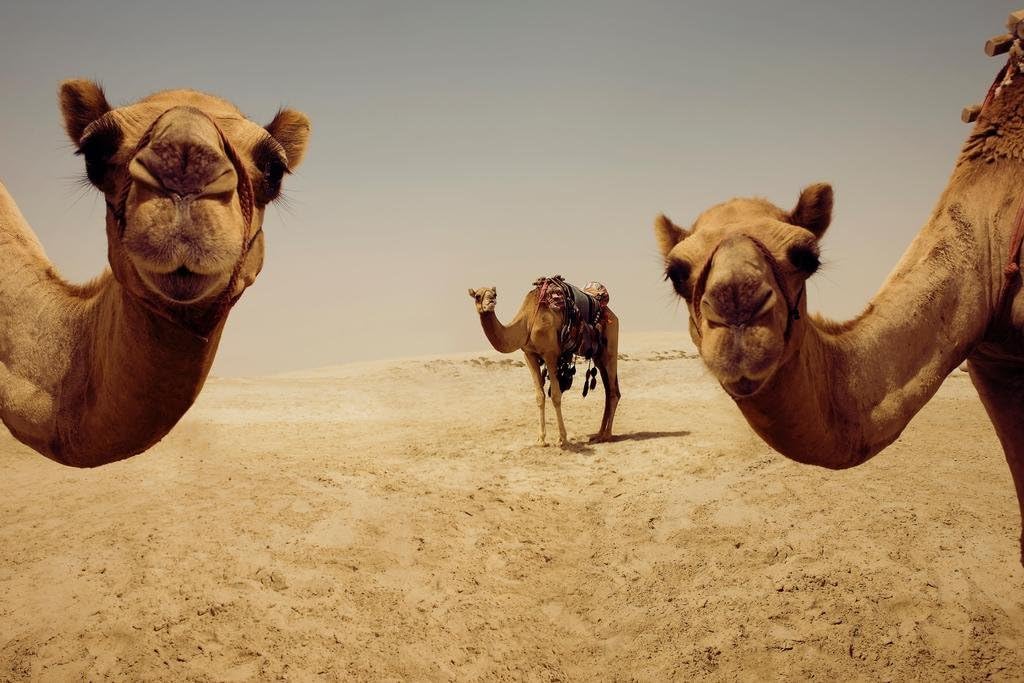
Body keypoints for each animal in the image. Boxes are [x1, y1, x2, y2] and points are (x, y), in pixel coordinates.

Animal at [468, 279, 620, 446]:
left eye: (495, 294)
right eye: (477, 296)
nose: (490, 302)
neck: (527, 322)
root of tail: (612, 314)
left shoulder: (550, 354)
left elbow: (555, 395)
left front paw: (562, 439)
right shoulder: (529, 355)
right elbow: (539, 396)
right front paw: (541, 439)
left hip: (610, 347)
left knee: (613, 392)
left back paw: (607, 435)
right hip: (598, 357)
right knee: (609, 390)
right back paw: (599, 434)